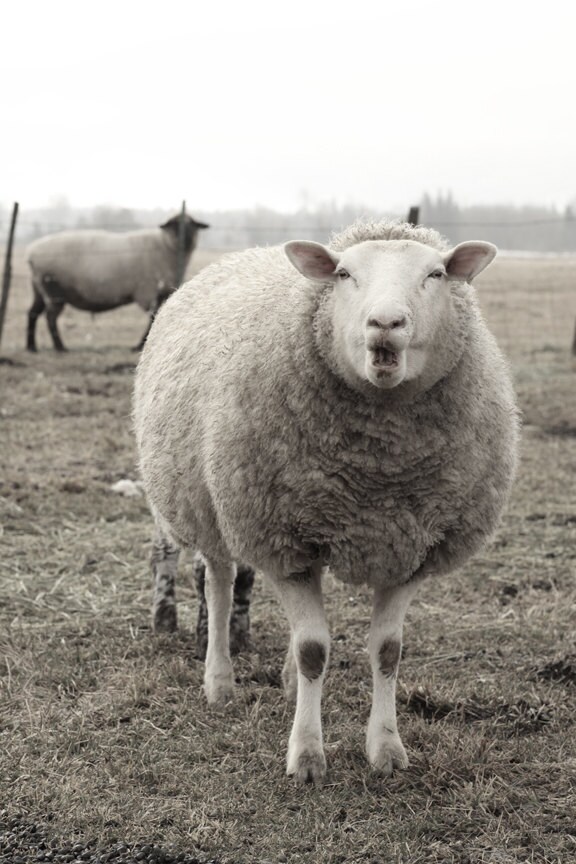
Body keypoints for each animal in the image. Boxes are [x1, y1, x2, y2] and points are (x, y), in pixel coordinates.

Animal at [25, 214, 209, 352]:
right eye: (174, 225)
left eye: (193, 225)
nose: (186, 239)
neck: (164, 247)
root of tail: (32, 253)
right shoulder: (147, 291)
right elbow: (152, 318)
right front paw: (139, 346)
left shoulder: (162, 293)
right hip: (53, 290)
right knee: (50, 317)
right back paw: (60, 347)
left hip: (39, 288)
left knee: (32, 312)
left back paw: (31, 346)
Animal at [133, 219, 519, 784]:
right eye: (343, 274)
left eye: (436, 274)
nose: (386, 322)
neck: (379, 471)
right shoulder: (282, 542)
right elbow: (314, 649)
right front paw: (307, 757)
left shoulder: (410, 550)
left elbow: (387, 652)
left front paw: (386, 748)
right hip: (214, 510)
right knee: (219, 585)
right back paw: (220, 681)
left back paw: (287, 683)